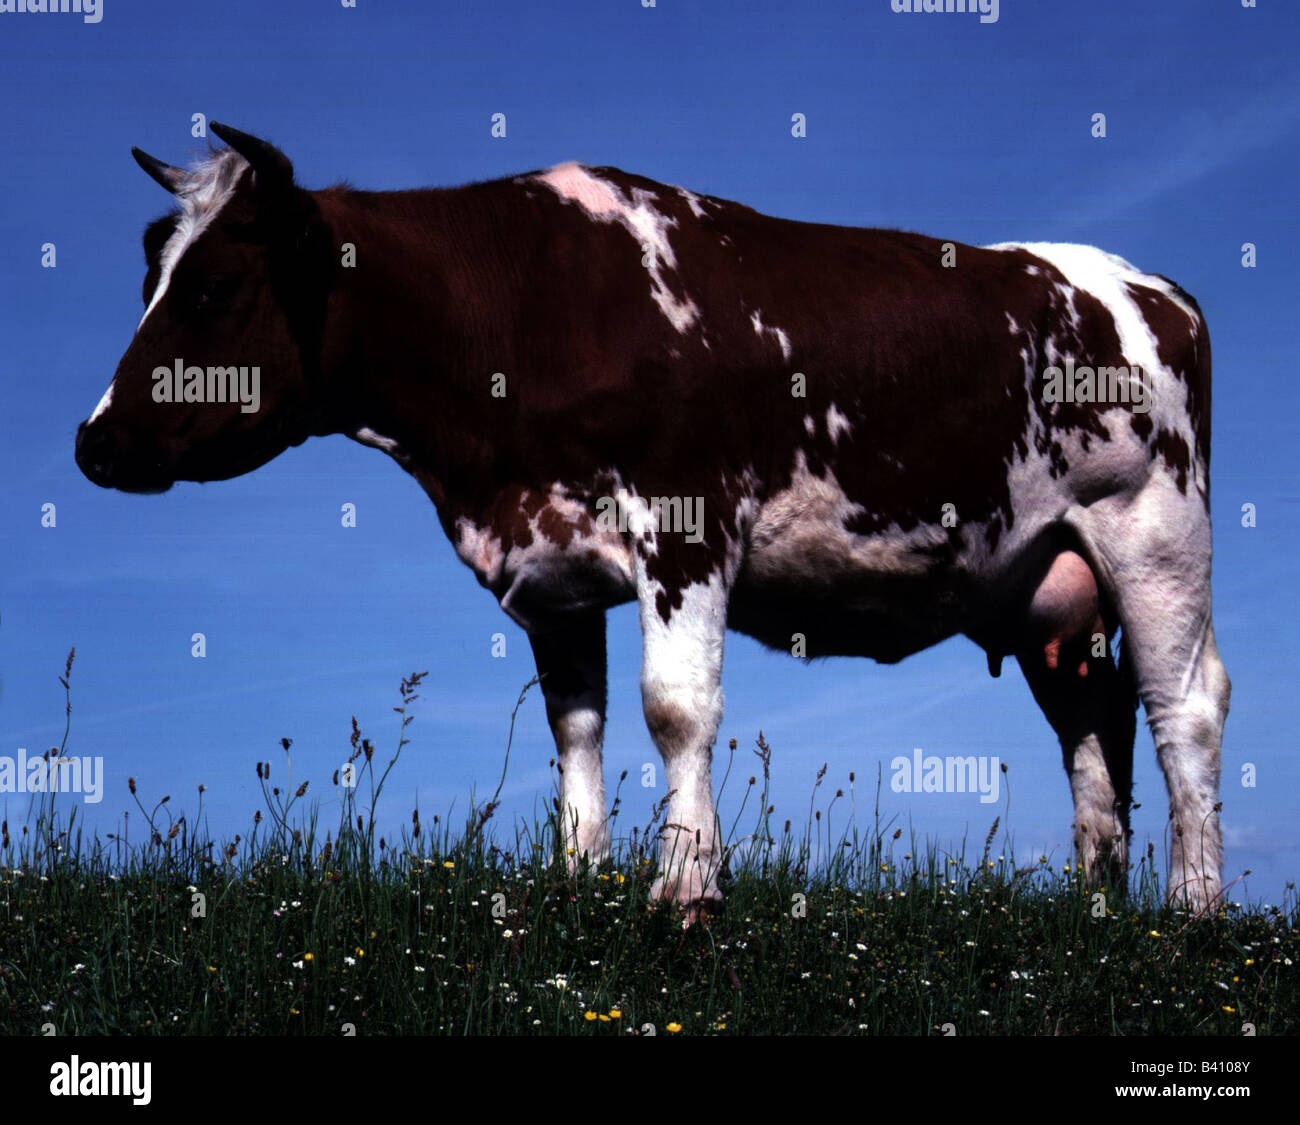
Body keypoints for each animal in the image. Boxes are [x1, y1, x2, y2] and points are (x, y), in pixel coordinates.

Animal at [76, 124, 1230, 919]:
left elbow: (675, 709)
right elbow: (574, 727)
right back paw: (1093, 914)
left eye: (214, 288)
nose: (94, 443)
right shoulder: (551, 566)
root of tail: (1147, 284)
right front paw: (579, 879)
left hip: (1156, 532)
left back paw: (1191, 912)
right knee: (1091, 723)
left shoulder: (687, 525)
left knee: (1185, 707)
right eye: (147, 277)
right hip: (1046, 588)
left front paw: (683, 893)